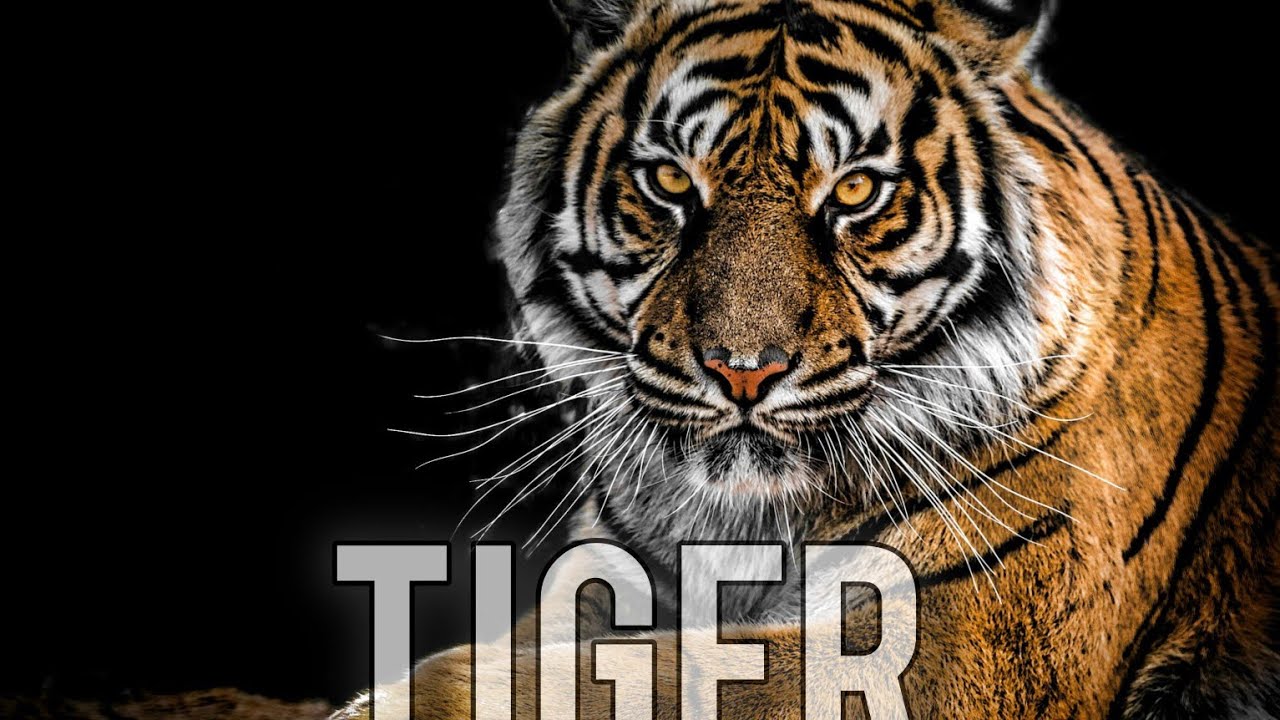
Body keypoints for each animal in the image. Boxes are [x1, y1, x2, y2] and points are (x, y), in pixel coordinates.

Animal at [335, 0, 1279, 717]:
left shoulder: (956, 642)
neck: (738, 522)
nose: (743, 371)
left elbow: (654, 675)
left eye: (856, 190)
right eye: (670, 183)